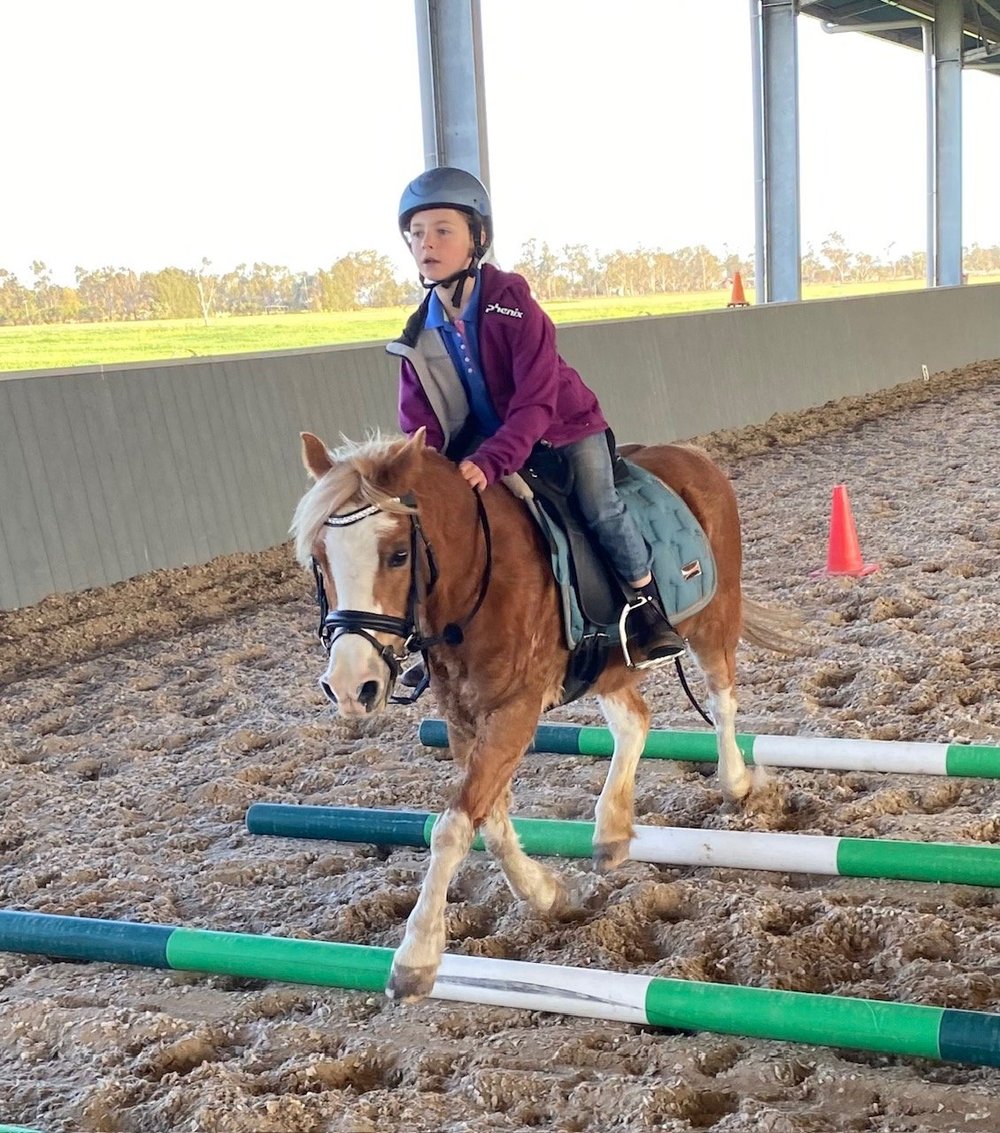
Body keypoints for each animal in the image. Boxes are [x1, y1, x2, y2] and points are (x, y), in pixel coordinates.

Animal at [291, 428, 799, 1002]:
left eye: (398, 555)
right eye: (319, 559)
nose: (351, 687)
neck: (477, 574)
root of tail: (693, 457)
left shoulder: (514, 711)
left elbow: (453, 826)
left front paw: (415, 959)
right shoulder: (464, 716)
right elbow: (487, 818)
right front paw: (545, 894)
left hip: (715, 615)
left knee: (721, 699)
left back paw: (735, 782)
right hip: (610, 666)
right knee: (634, 722)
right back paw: (611, 832)